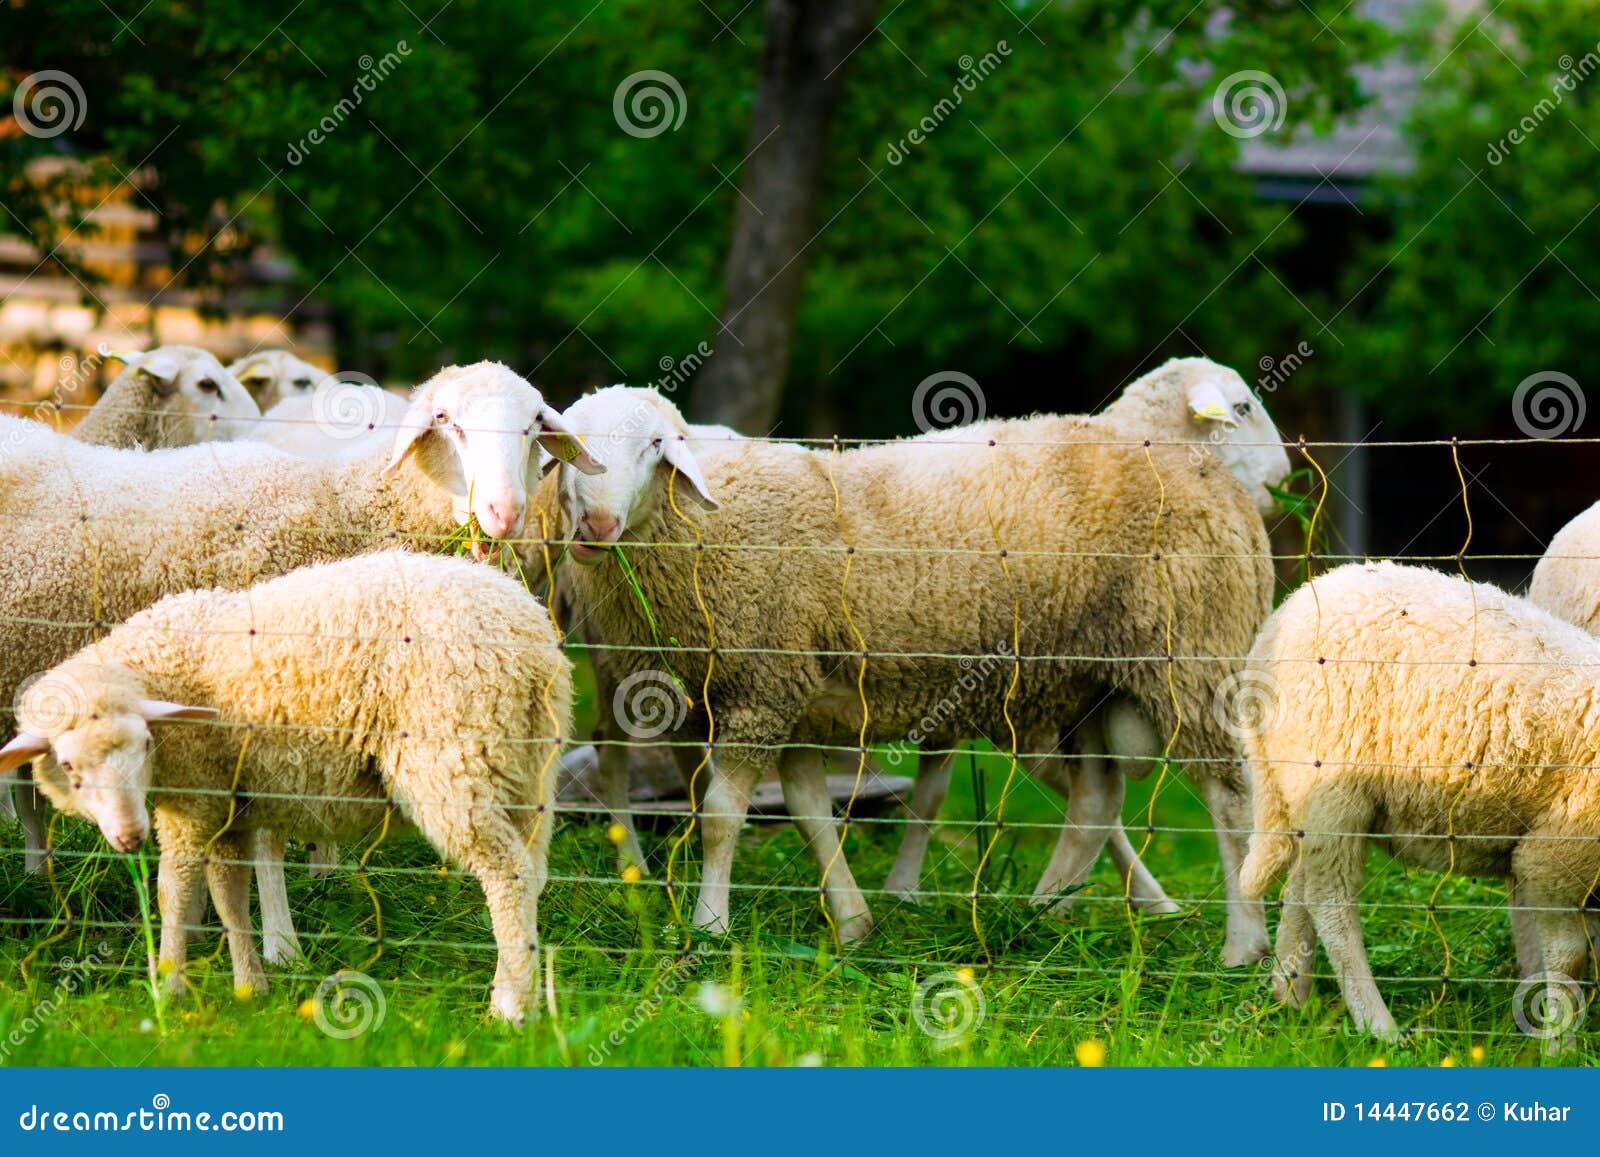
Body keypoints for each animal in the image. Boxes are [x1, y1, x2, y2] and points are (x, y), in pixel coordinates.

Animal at [0, 362, 603, 954]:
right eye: (445, 419)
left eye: (532, 425)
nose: (504, 512)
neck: (343, 505)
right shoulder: (259, 695)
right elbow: (265, 837)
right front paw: (280, 940)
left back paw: (38, 877)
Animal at [0, 550, 571, 1024]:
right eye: (69, 766)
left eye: (144, 745)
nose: (129, 836)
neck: (159, 669)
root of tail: (525, 634)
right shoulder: (230, 807)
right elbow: (229, 894)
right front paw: (250, 987)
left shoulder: (194, 799)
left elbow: (174, 893)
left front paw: (169, 987)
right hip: (527, 769)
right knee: (534, 872)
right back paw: (529, 996)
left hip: (454, 759)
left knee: (508, 874)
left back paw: (510, 1010)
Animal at [1239, 560, 1600, 1045]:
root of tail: (1278, 621)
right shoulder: (1557, 856)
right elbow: (1568, 955)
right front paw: (1558, 1043)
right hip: (1332, 786)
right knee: (1330, 902)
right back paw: (1378, 1026)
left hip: (1305, 795)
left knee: (1299, 889)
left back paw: (1290, 998)